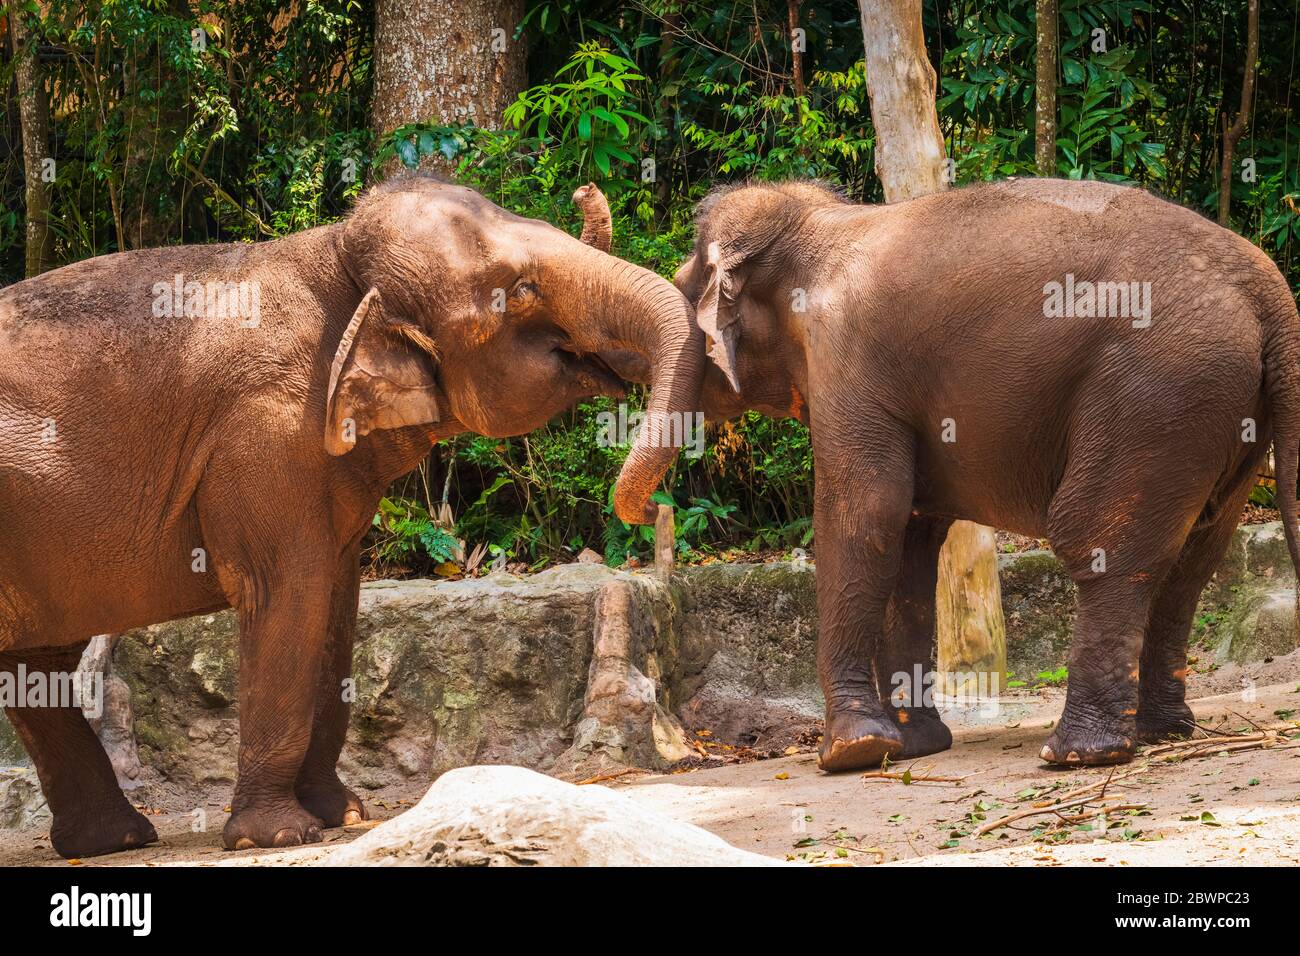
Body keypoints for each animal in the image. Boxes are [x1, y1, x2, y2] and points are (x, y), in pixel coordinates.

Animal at [0, 173, 702, 857]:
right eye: (521, 291)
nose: (654, 510)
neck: (333, 254)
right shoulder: (262, 435)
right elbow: (288, 593)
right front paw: (278, 835)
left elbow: (336, 605)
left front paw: (344, 814)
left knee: (37, 663)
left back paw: (113, 840)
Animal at [580, 176, 1300, 771]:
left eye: (684, 293)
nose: (660, 515)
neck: (821, 225)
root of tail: (1270, 292)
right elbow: (911, 541)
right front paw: (915, 745)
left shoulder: (848, 363)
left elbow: (864, 517)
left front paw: (851, 753)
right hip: (1223, 413)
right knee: (1193, 557)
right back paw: (1160, 733)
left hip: (1154, 395)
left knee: (1101, 543)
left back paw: (1076, 754)